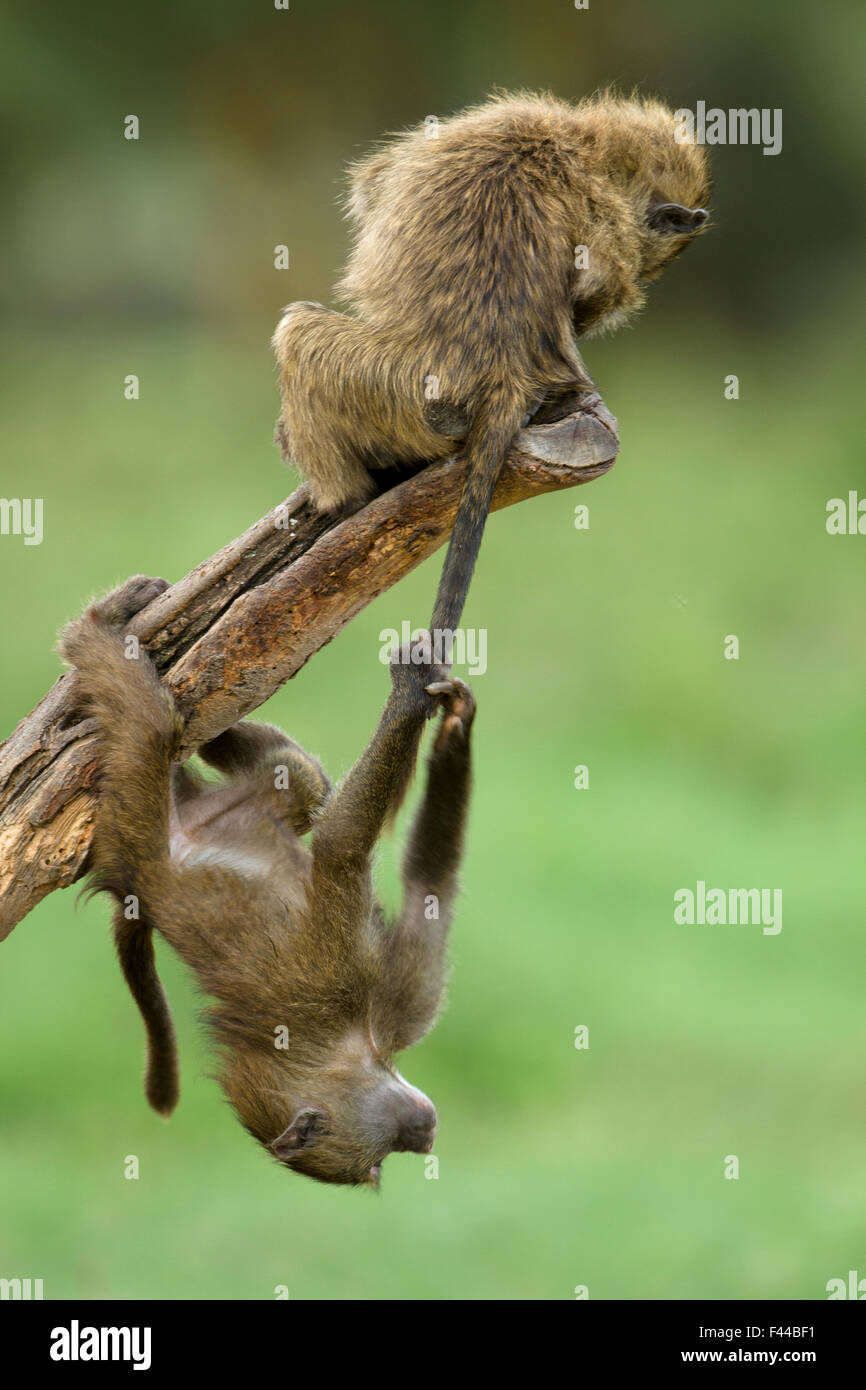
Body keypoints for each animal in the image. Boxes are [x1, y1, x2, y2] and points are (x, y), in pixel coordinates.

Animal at [58, 575, 475, 1187]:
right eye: (382, 1158)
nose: (428, 1133)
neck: (346, 1044)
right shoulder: (343, 975)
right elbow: (344, 844)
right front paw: (411, 693)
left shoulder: (392, 1014)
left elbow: (428, 893)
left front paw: (455, 725)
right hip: (133, 822)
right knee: (152, 730)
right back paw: (94, 630)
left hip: (231, 807)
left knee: (301, 779)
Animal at [273, 89, 710, 645]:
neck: (581, 141)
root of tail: (504, 377)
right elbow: (598, 285)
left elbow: (372, 188)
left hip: (396, 393)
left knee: (297, 334)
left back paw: (341, 499)